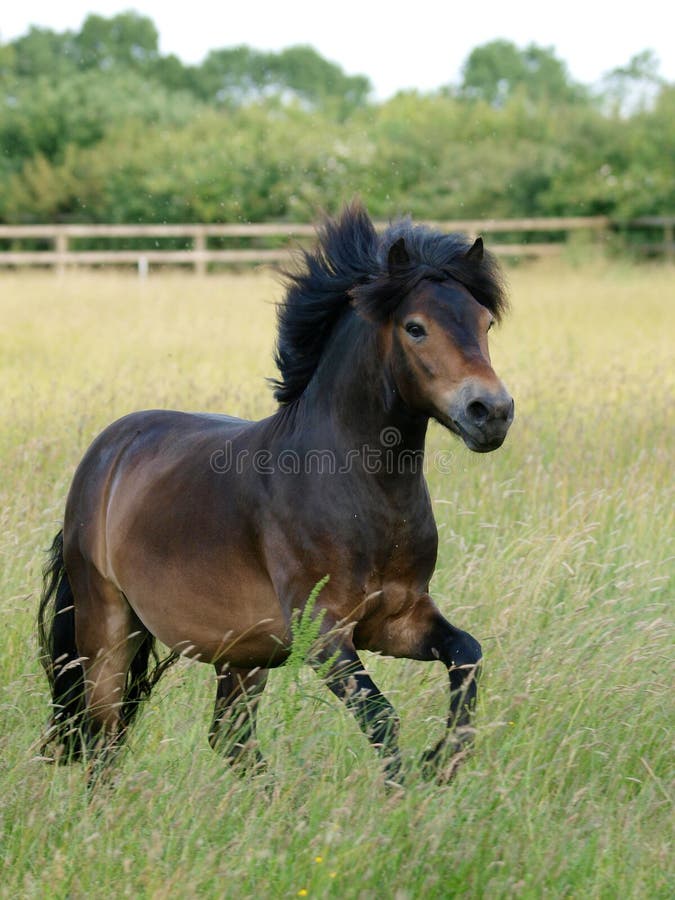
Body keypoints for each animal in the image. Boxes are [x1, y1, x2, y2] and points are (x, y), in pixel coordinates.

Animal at [37, 201, 513, 784]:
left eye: (485, 322)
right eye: (415, 328)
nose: (491, 412)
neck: (364, 497)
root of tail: (105, 453)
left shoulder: (396, 621)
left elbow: (467, 655)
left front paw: (441, 760)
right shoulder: (323, 633)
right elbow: (381, 716)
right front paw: (409, 790)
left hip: (243, 654)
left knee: (229, 740)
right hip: (107, 625)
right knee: (102, 735)